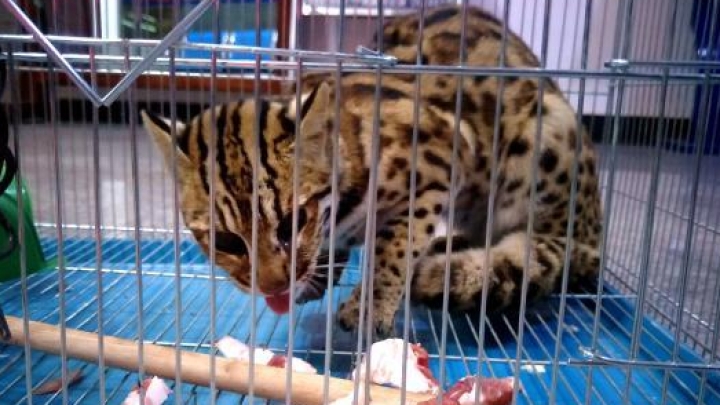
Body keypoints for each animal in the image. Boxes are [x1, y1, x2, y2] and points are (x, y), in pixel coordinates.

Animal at [141, 4, 602, 338]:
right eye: (226, 241)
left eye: (293, 222)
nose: (272, 289)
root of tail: (595, 233)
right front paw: (319, 276)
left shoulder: (441, 163)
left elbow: (394, 246)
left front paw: (369, 305)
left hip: (543, 144)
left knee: (545, 245)